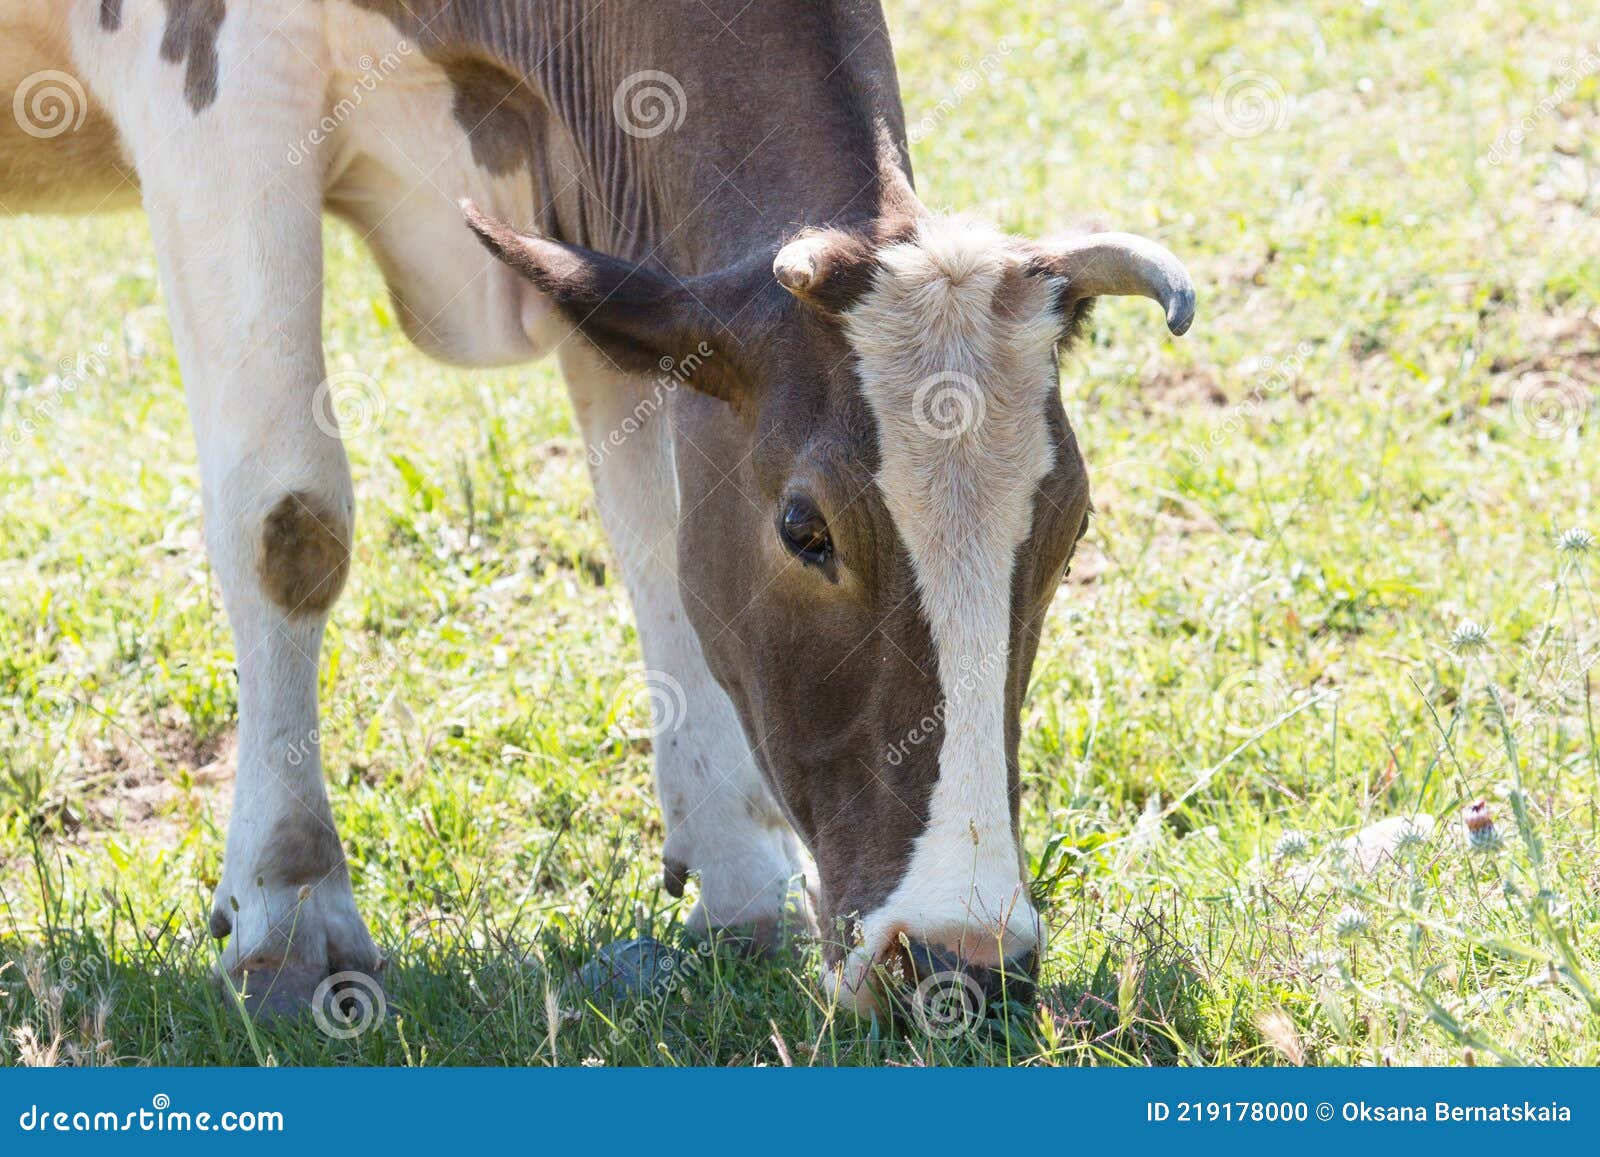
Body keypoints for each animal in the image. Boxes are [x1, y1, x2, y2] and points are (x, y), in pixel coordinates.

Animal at [1, 0, 1194, 1018]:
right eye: (805, 529)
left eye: (1072, 529)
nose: (963, 959)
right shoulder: (219, 101)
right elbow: (287, 521)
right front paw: (291, 918)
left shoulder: (599, 208)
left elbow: (656, 529)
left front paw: (738, 885)